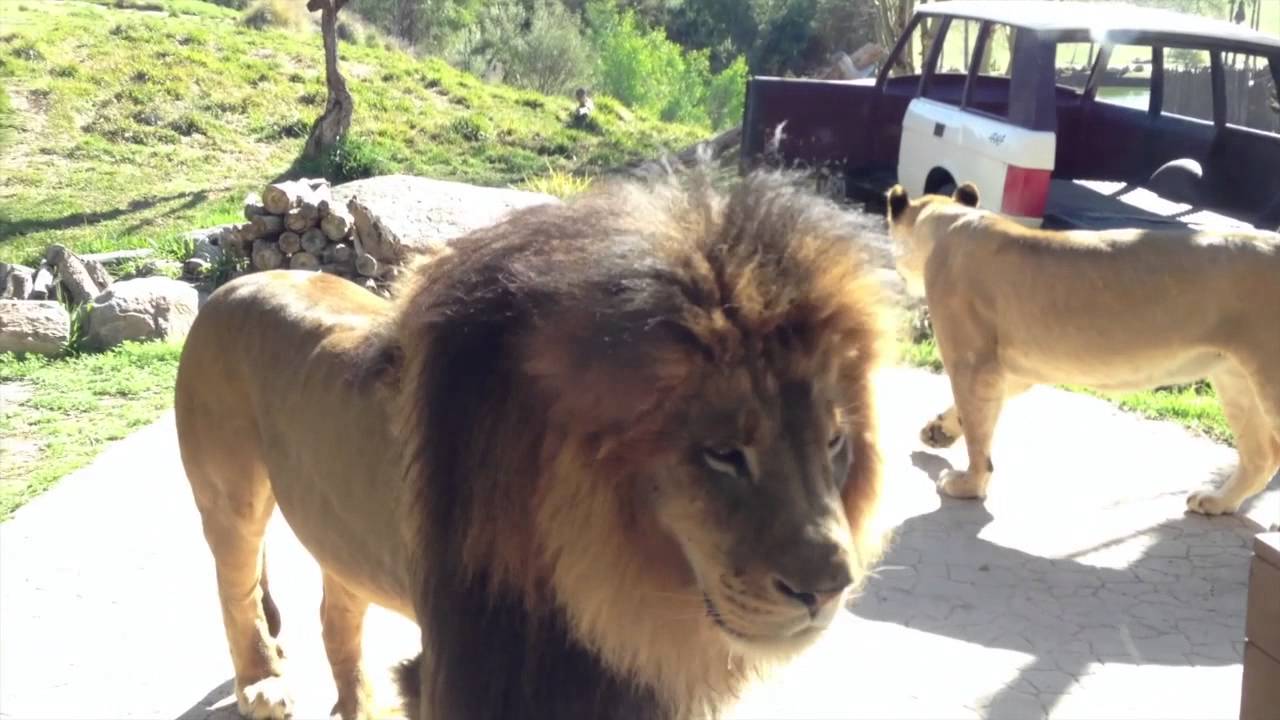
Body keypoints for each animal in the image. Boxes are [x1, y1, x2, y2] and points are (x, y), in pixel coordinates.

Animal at [174, 166, 893, 720]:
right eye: (723, 453)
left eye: (834, 443)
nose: (830, 589)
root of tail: (236, 283)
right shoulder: (476, 665)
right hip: (229, 497)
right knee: (237, 593)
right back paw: (263, 686)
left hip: (342, 530)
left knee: (335, 611)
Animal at [884, 182, 1280, 516]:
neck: (949, 222)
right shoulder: (1014, 369)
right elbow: (969, 413)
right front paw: (938, 430)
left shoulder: (975, 362)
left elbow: (978, 427)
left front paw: (969, 484)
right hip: (1234, 377)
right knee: (1262, 455)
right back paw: (1217, 502)